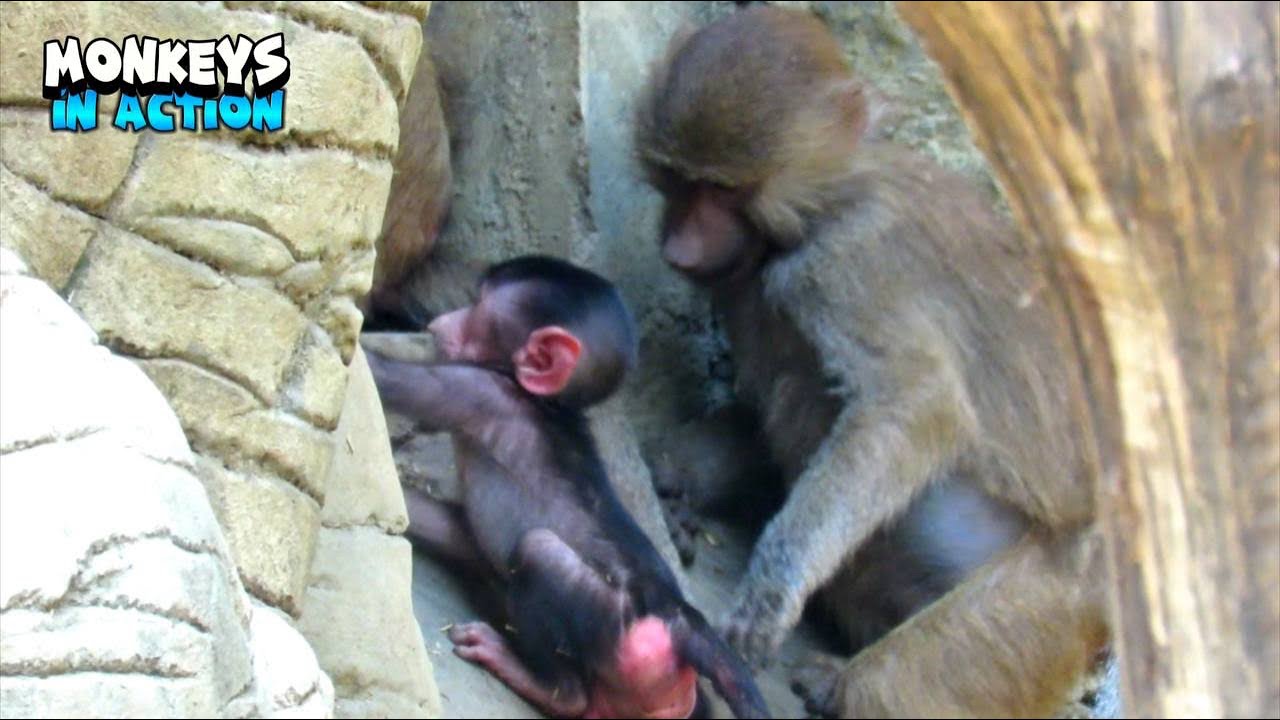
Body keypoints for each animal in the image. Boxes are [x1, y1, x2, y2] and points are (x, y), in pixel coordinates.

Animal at [365, 256, 770, 719]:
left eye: (476, 308)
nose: (438, 322)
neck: (551, 404)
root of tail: (681, 619)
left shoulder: (482, 391)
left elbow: (392, 380)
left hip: (613, 627)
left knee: (538, 552)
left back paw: (544, 684)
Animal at [636, 7, 1110, 717]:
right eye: (681, 181)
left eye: (721, 190)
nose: (680, 248)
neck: (827, 201)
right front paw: (672, 480)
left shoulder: (845, 264)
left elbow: (915, 406)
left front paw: (772, 590)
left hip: (1056, 597)